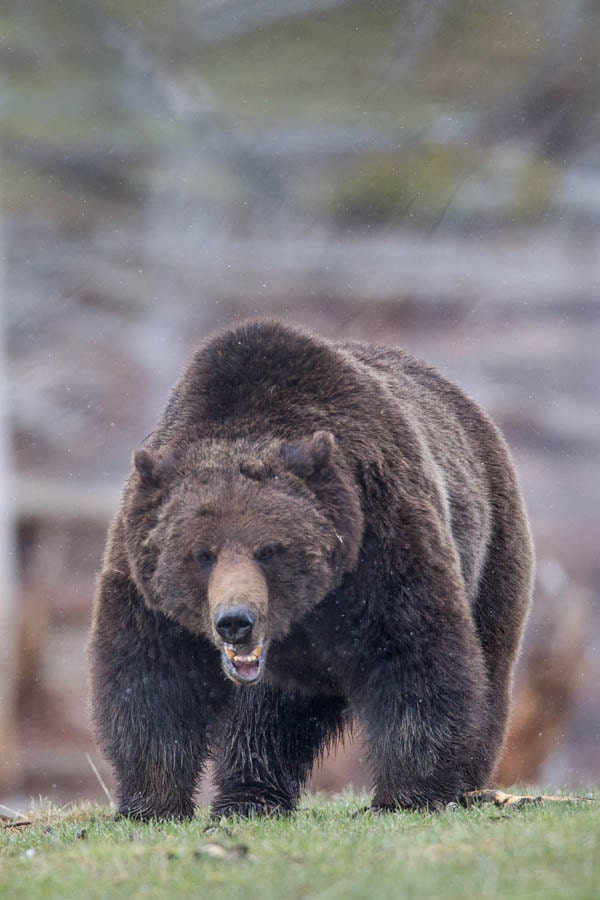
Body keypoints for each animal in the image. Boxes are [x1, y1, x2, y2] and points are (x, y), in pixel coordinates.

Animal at [88, 319, 534, 819]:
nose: (235, 621)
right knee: (269, 717)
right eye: (202, 554)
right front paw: (152, 802)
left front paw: (409, 795)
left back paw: (470, 783)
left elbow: (415, 657)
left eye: (269, 550)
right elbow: (150, 679)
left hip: (493, 547)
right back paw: (250, 797)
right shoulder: (145, 582)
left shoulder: (381, 540)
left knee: (489, 666)